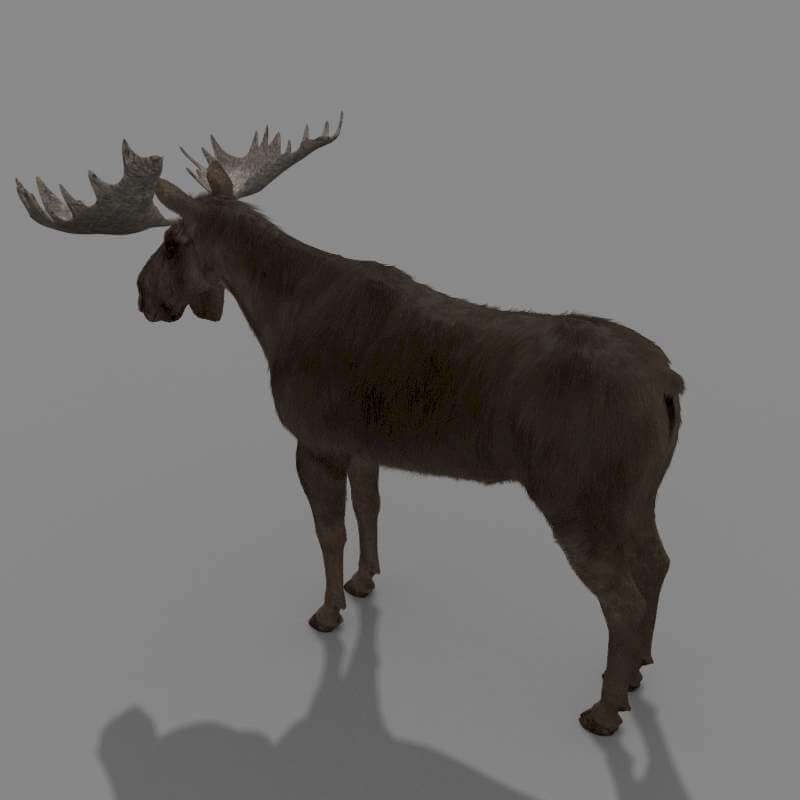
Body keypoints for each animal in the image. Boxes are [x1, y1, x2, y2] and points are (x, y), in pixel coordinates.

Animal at [16, 110, 684, 737]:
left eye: (174, 243)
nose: (142, 296)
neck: (273, 316)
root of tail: (671, 385)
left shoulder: (314, 438)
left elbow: (328, 531)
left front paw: (328, 612)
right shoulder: (364, 446)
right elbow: (369, 509)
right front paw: (365, 582)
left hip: (577, 496)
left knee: (621, 596)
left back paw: (605, 708)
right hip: (637, 495)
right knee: (658, 562)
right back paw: (640, 669)